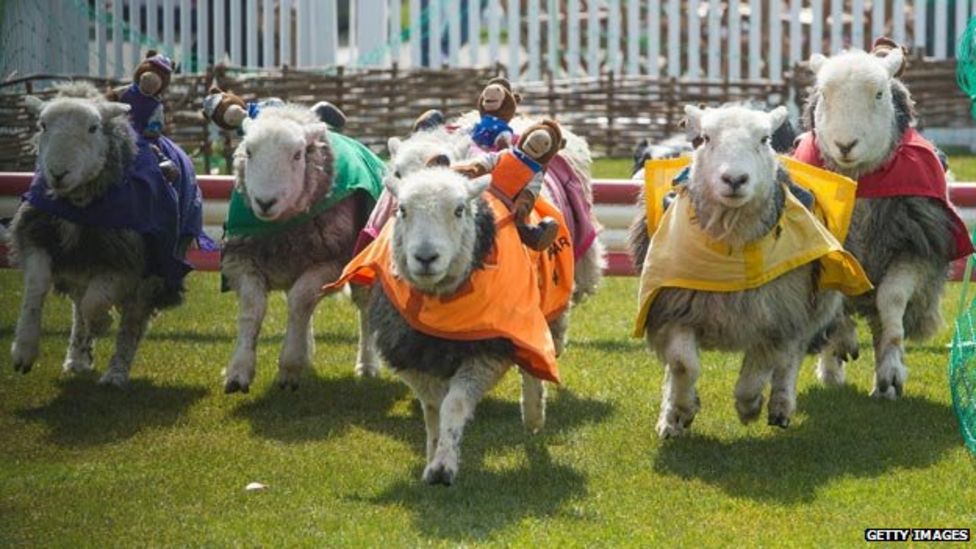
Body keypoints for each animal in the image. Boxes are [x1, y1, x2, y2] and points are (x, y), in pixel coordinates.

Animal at [9, 83, 202, 387]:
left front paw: (102, 324)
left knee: (132, 320)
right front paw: (24, 350)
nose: (58, 173)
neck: (81, 208)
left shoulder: (127, 259)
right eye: (42, 125)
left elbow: (96, 302)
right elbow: (37, 286)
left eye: (93, 128)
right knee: (78, 307)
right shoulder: (37, 235)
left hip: (154, 272)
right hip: (80, 264)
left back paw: (116, 372)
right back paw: (77, 357)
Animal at [221, 104, 383, 393]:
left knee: (364, 310)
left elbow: (301, 301)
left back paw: (366, 365)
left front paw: (289, 367)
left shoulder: (334, 262)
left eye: (297, 155)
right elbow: (254, 308)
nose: (265, 202)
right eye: (248, 152)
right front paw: (238, 370)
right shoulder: (240, 259)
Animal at [330, 167, 572, 485]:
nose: (425, 257)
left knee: (535, 364)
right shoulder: (413, 356)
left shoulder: (486, 354)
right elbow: (433, 411)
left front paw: (443, 467)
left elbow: (453, 405)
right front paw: (435, 456)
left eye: (459, 210)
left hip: (545, 315)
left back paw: (533, 413)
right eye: (401, 210)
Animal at [629, 104, 862, 438]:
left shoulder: (774, 317)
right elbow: (682, 365)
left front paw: (749, 407)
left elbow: (757, 371)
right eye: (705, 138)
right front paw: (681, 410)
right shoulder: (672, 309)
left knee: (790, 358)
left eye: (764, 139)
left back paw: (780, 405)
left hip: (809, 306)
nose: (735, 179)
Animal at [796, 49, 973, 398]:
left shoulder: (915, 245)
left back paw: (882, 382)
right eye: (823, 94)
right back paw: (831, 369)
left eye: (880, 94)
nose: (845, 144)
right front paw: (844, 341)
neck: (860, 185)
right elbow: (835, 299)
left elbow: (891, 302)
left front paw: (891, 372)